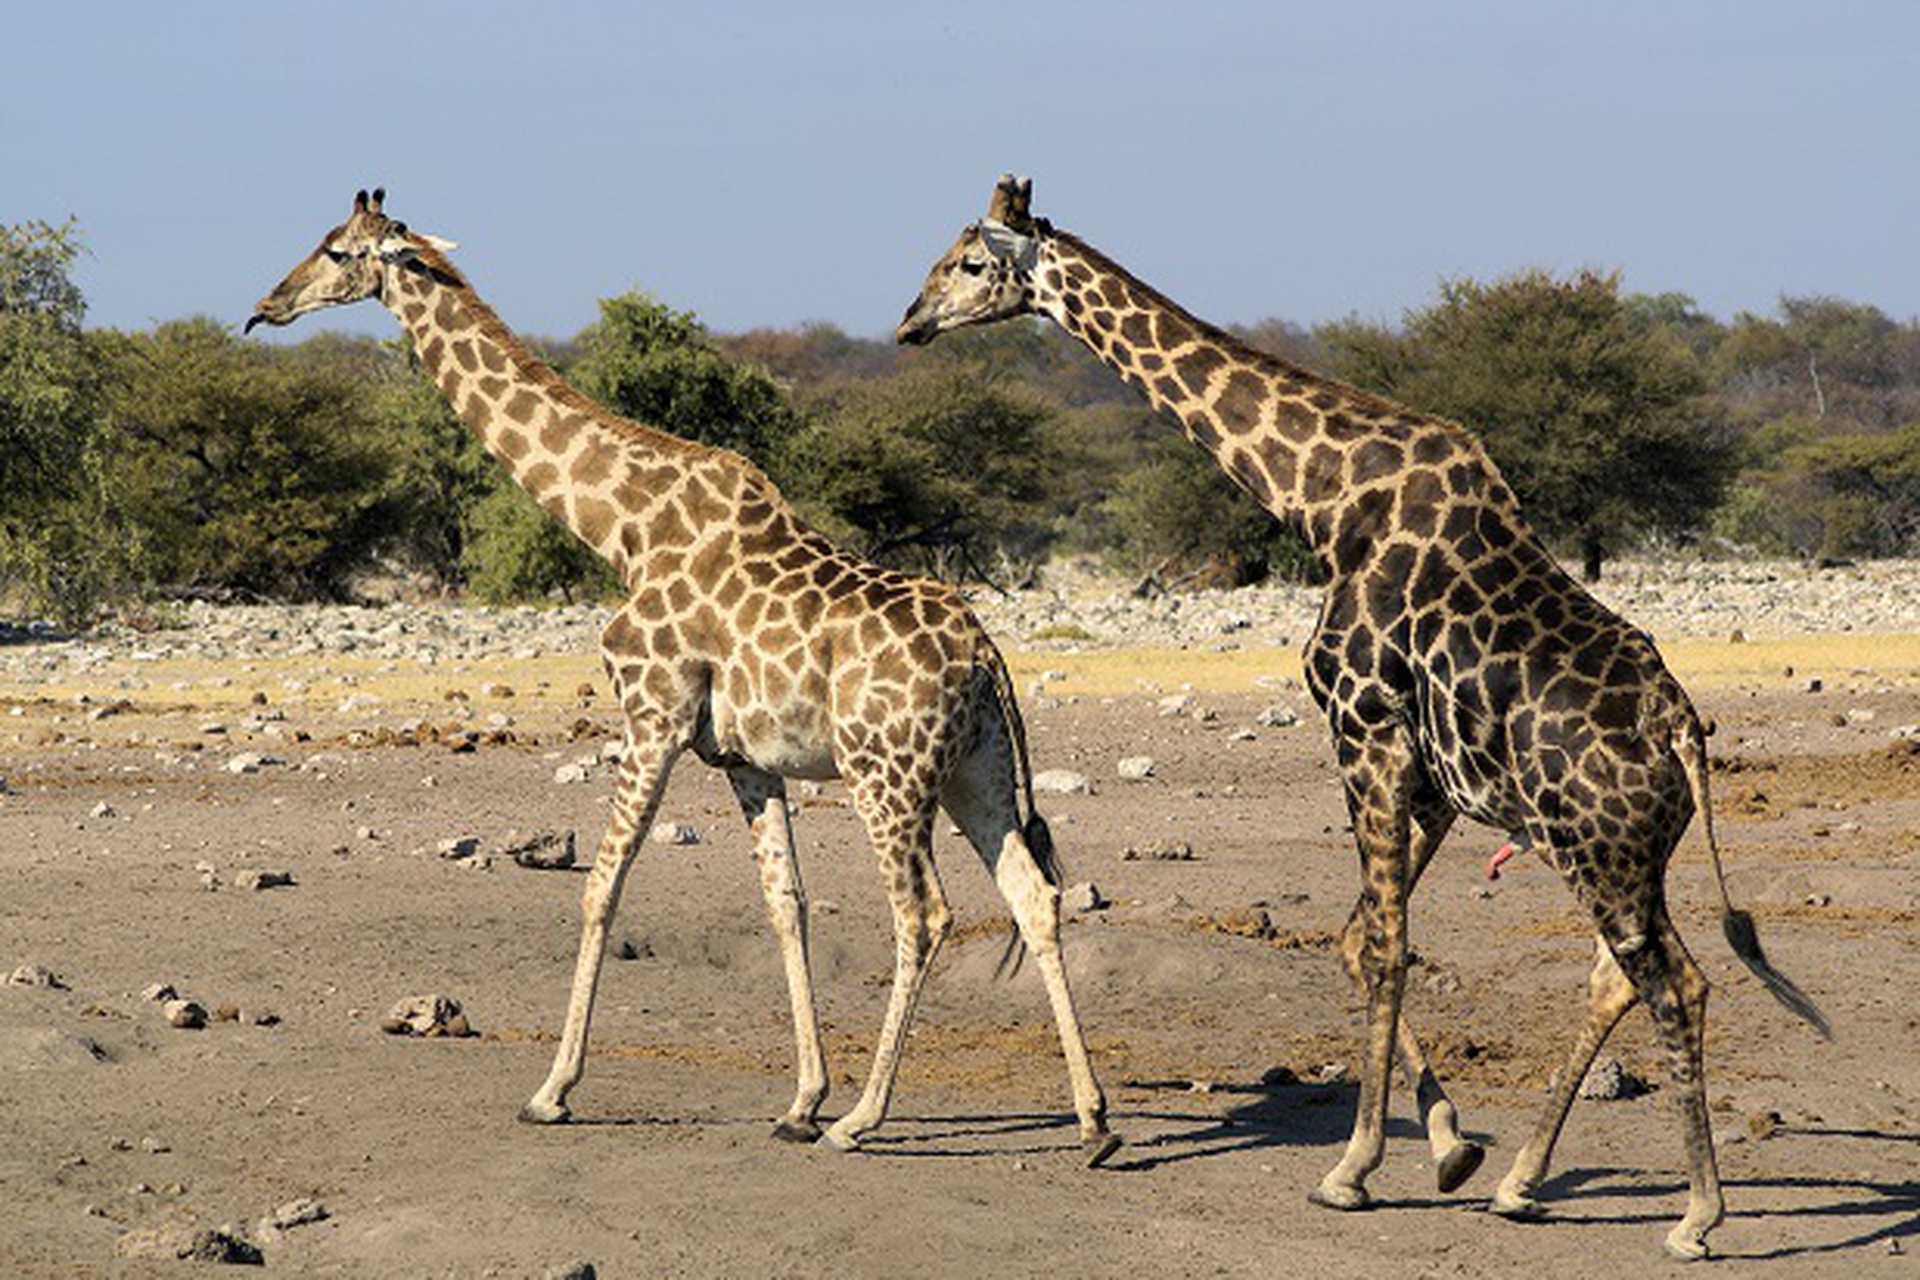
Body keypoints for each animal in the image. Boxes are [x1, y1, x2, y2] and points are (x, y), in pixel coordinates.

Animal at [247, 188, 1119, 1164]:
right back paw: (1093, 1121)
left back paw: (865, 1119)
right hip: (975, 770)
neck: (620, 524)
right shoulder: (743, 758)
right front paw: (800, 1098)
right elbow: (787, 903)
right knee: (1034, 896)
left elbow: (602, 886)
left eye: (334, 250)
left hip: (885, 775)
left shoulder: (651, 714)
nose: (266, 306)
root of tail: (983, 653)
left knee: (926, 916)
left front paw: (553, 1090)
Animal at [896, 175, 1829, 1258]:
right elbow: (1356, 936)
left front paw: (1352, 1168)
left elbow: (1384, 945)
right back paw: (1522, 1183)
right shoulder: (1432, 779)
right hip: (1625, 852)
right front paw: (1450, 1146)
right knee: (1620, 976)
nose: (910, 323)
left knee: (1675, 982)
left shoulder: (1363, 725)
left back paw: (1696, 1214)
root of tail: (1681, 729)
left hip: (1598, 849)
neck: (1323, 500)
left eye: (968, 263)